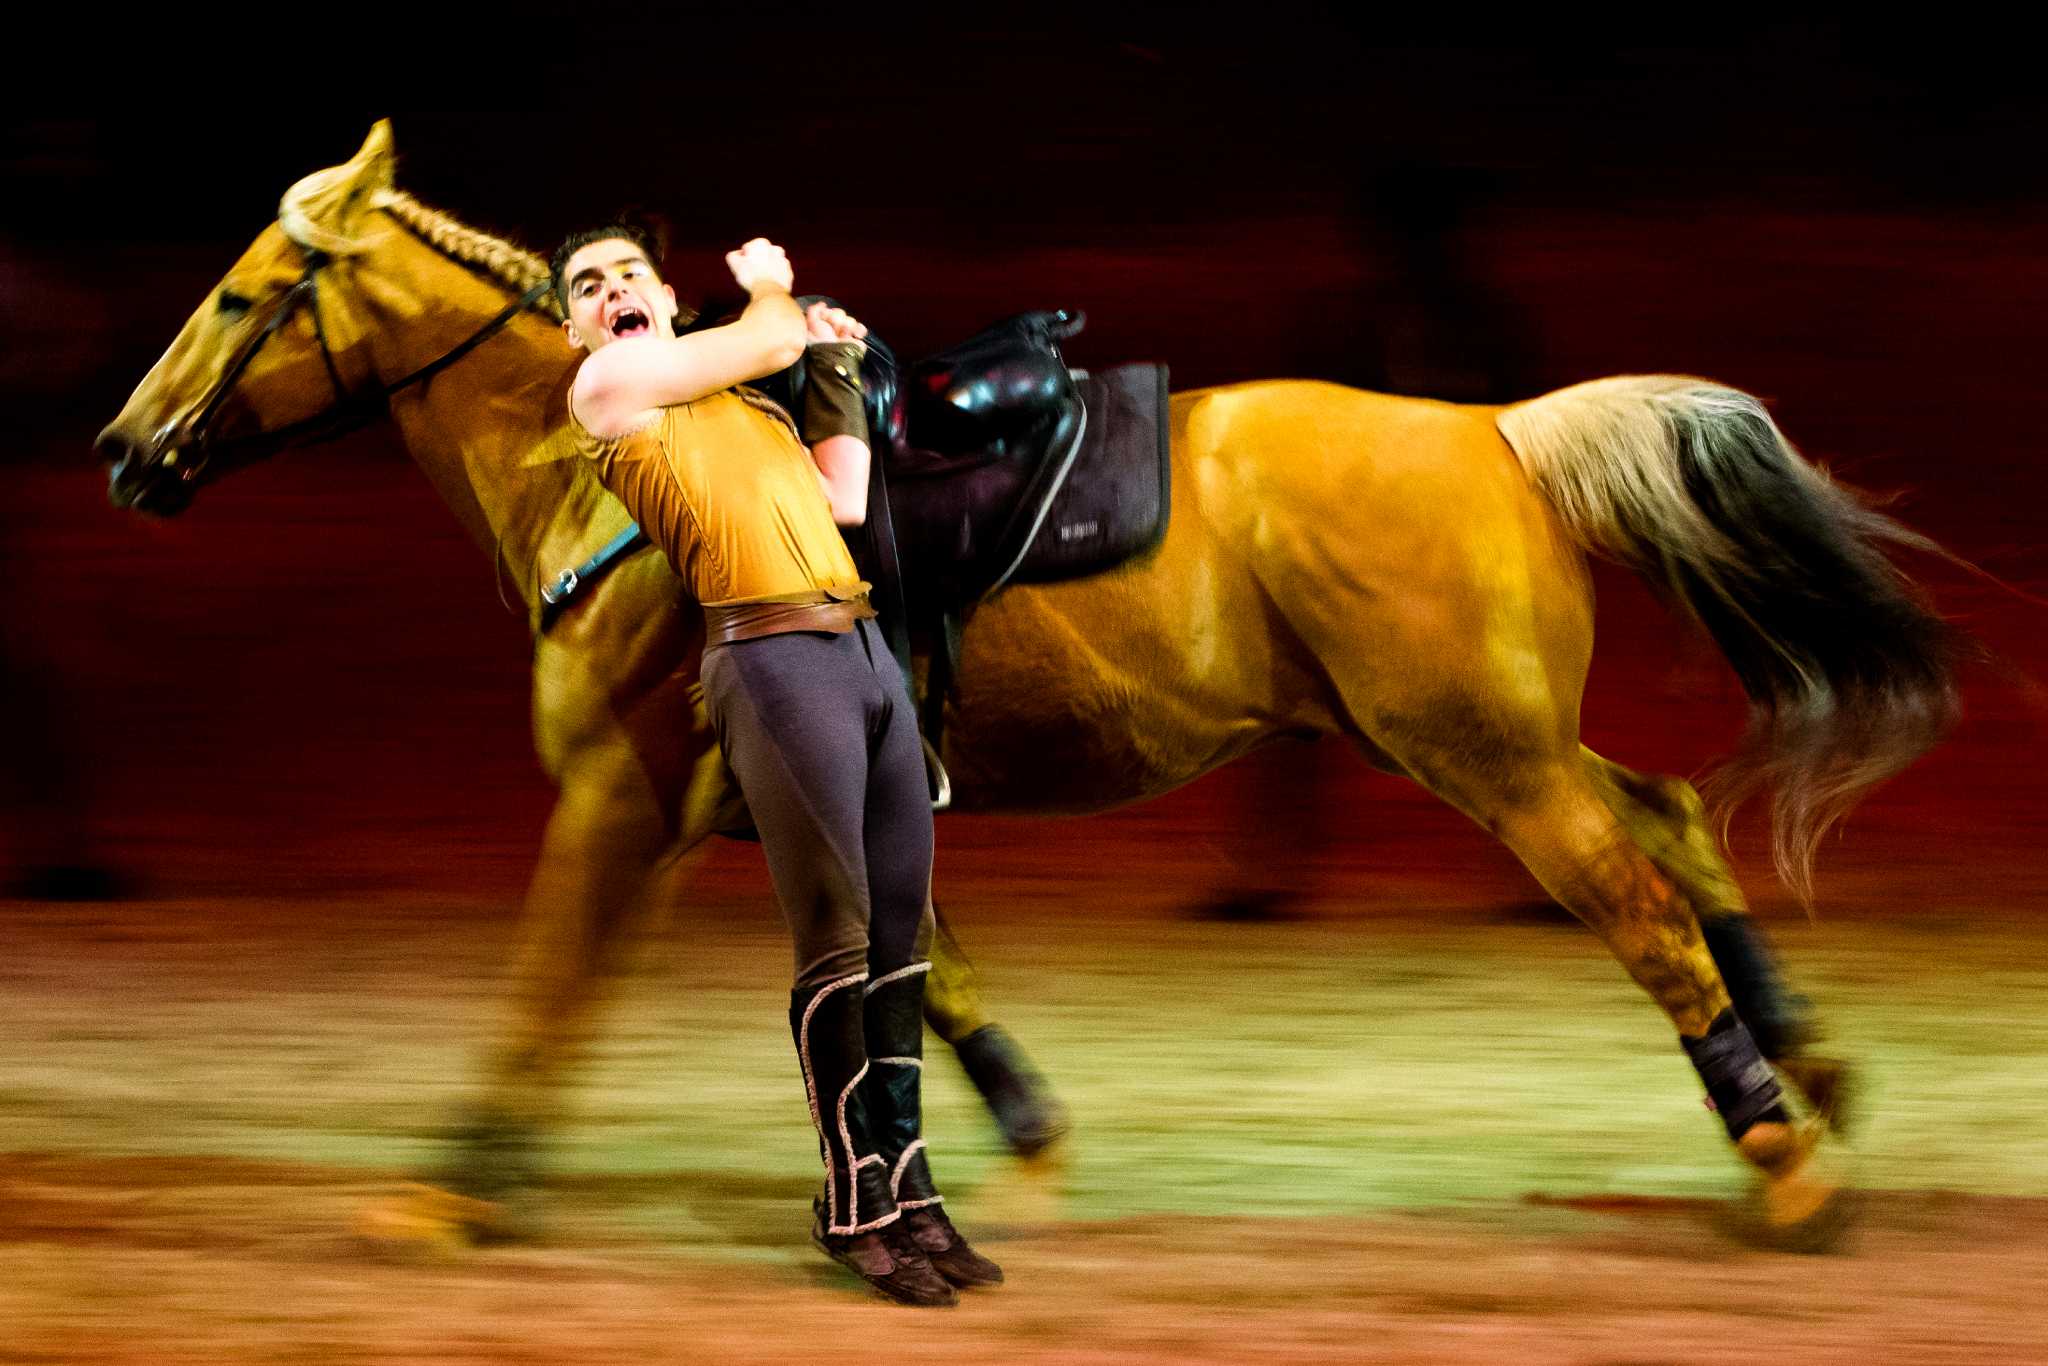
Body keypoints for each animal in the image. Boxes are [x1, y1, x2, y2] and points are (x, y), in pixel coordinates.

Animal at [99, 122, 1959, 1250]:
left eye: (245, 295)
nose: (126, 450)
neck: (624, 481)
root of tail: (1499, 427)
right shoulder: (790, 795)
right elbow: (926, 969)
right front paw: (1029, 1144)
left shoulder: (621, 805)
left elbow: (548, 990)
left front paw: (459, 1193)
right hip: (1495, 736)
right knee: (1672, 820)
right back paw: (1819, 1075)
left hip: (1478, 754)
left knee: (1637, 902)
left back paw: (1782, 1152)